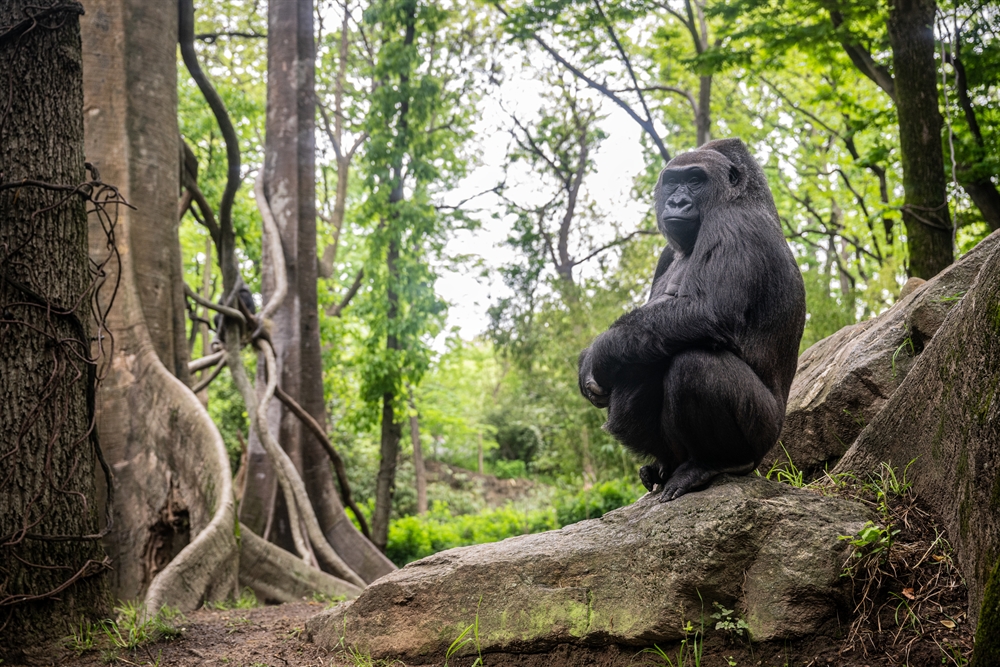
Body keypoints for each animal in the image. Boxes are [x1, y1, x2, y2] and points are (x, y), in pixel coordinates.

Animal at [578, 138, 806, 501]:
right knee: (642, 356)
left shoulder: (735, 223)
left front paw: (597, 353)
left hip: (766, 440)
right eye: (673, 182)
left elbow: (707, 312)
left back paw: (717, 462)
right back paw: (665, 465)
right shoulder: (666, 253)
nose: (677, 201)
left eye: (696, 180)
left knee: (693, 363)